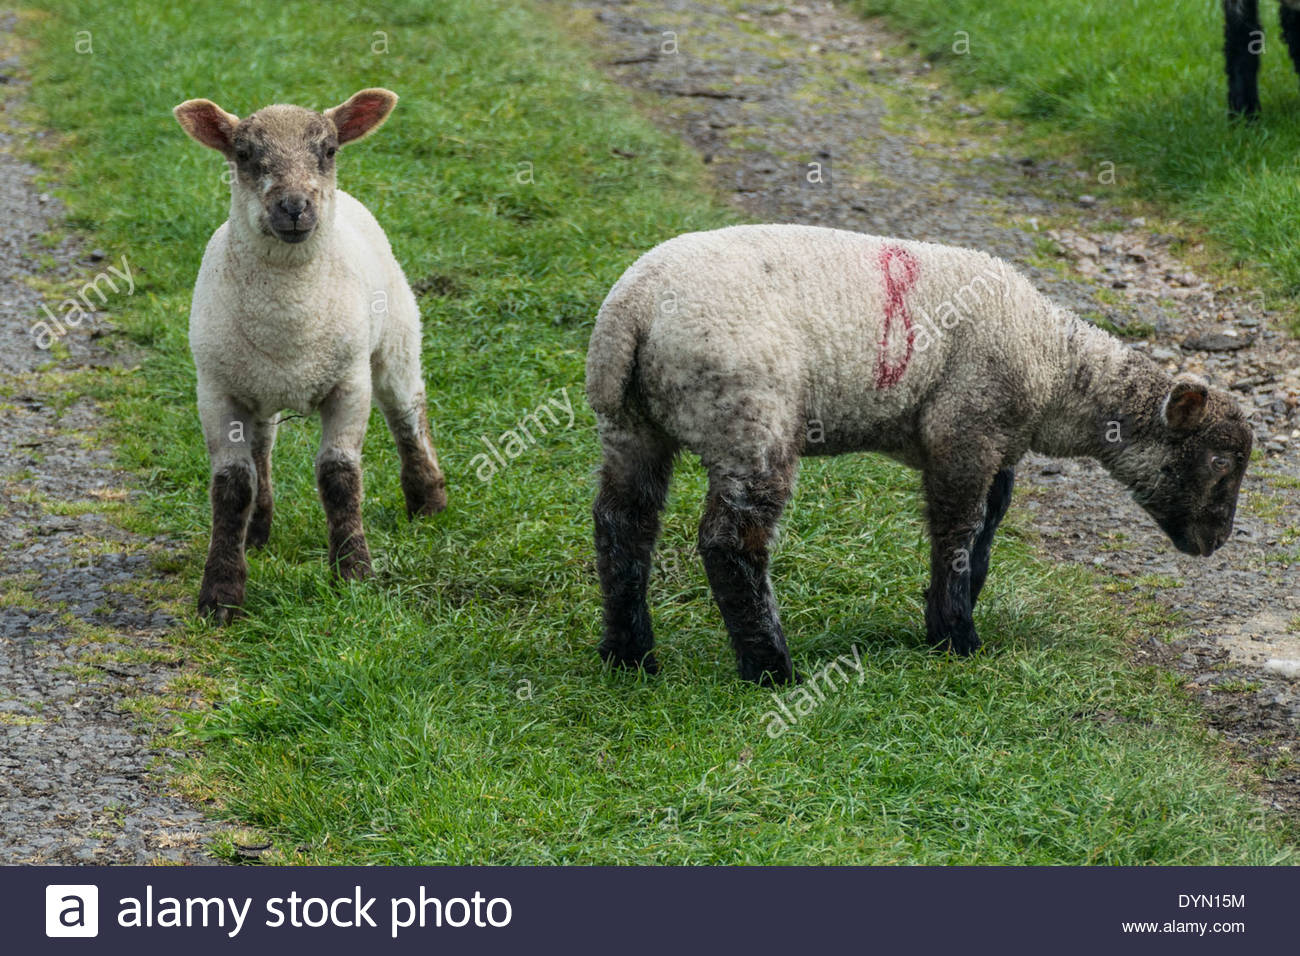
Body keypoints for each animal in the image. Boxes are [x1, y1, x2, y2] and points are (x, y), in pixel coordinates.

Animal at [174, 89, 447, 622]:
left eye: (329, 150)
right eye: (243, 154)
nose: (295, 207)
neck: (290, 320)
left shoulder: (349, 384)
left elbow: (339, 475)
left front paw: (354, 573)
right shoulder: (217, 391)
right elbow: (232, 486)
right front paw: (221, 594)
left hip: (396, 339)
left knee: (408, 413)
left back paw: (427, 500)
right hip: (256, 385)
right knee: (262, 450)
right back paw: (257, 532)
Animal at [586, 224, 1253, 684]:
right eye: (1221, 462)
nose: (1216, 541)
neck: (1056, 372)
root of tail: (630, 311)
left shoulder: (990, 446)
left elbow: (984, 532)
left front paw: (951, 615)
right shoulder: (965, 430)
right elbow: (956, 533)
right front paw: (956, 638)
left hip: (633, 426)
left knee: (622, 524)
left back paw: (630, 655)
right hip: (748, 415)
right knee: (730, 544)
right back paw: (770, 668)